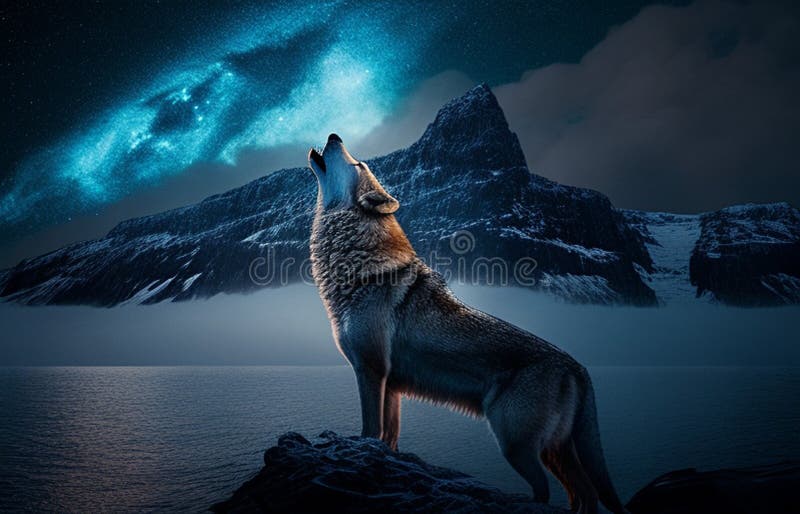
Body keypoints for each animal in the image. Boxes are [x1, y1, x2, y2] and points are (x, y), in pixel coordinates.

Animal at [307, 133, 626, 514]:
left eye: (358, 164)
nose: (334, 136)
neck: (360, 270)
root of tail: (577, 367)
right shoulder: (392, 385)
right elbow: (389, 437)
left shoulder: (371, 370)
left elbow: (370, 430)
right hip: (552, 451)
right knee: (584, 493)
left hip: (515, 445)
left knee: (548, 491)